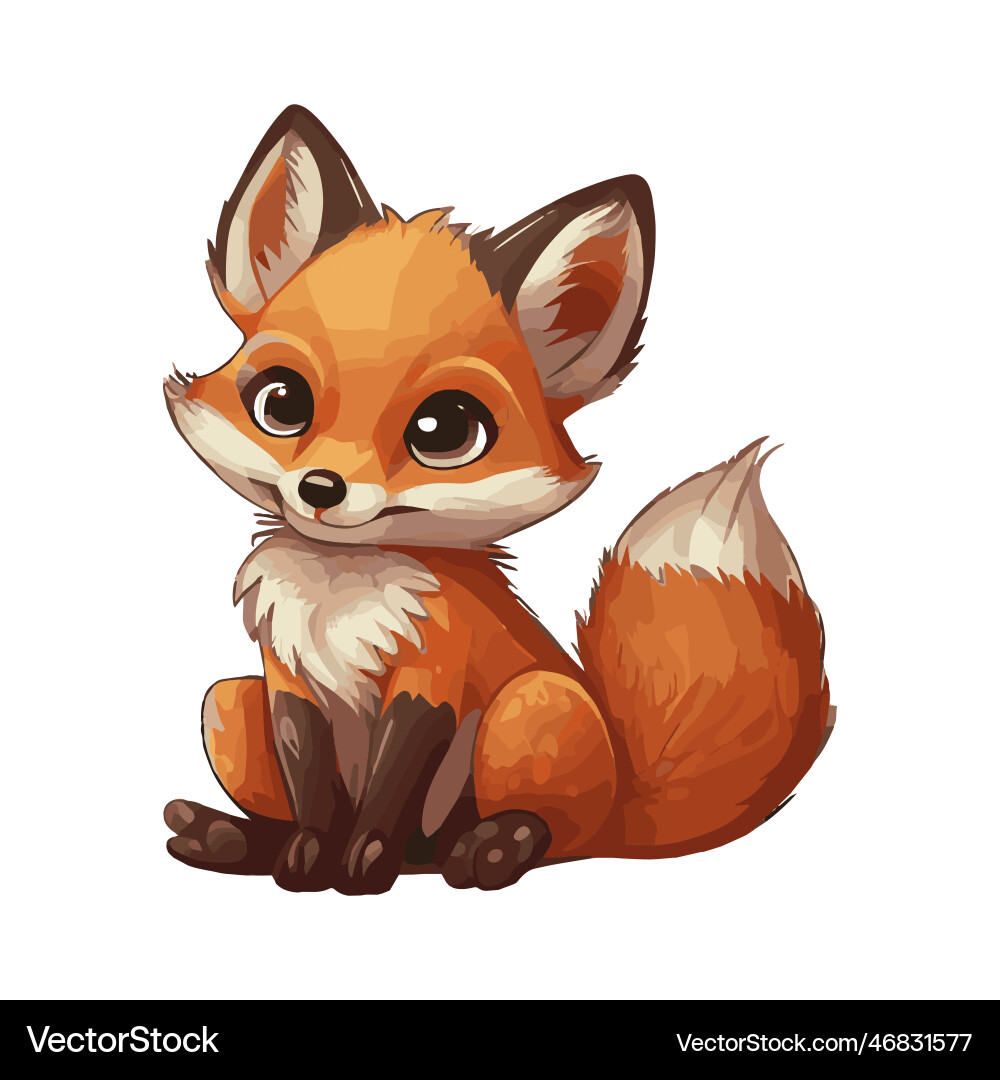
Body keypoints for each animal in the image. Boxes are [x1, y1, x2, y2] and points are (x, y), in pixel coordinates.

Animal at [164, 105, 833, 894]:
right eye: (281, 402)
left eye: (445, 429)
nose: (320, 488)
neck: (344, 593)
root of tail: (626, 797)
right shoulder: (286, 681)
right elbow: (311, 787)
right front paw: (304, 857)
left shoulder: (435, 678)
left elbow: (392, 781)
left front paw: (363, 862)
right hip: (224, 704)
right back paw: (233, 839)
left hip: (532, 706)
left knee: (552, 836)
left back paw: (485, 848)